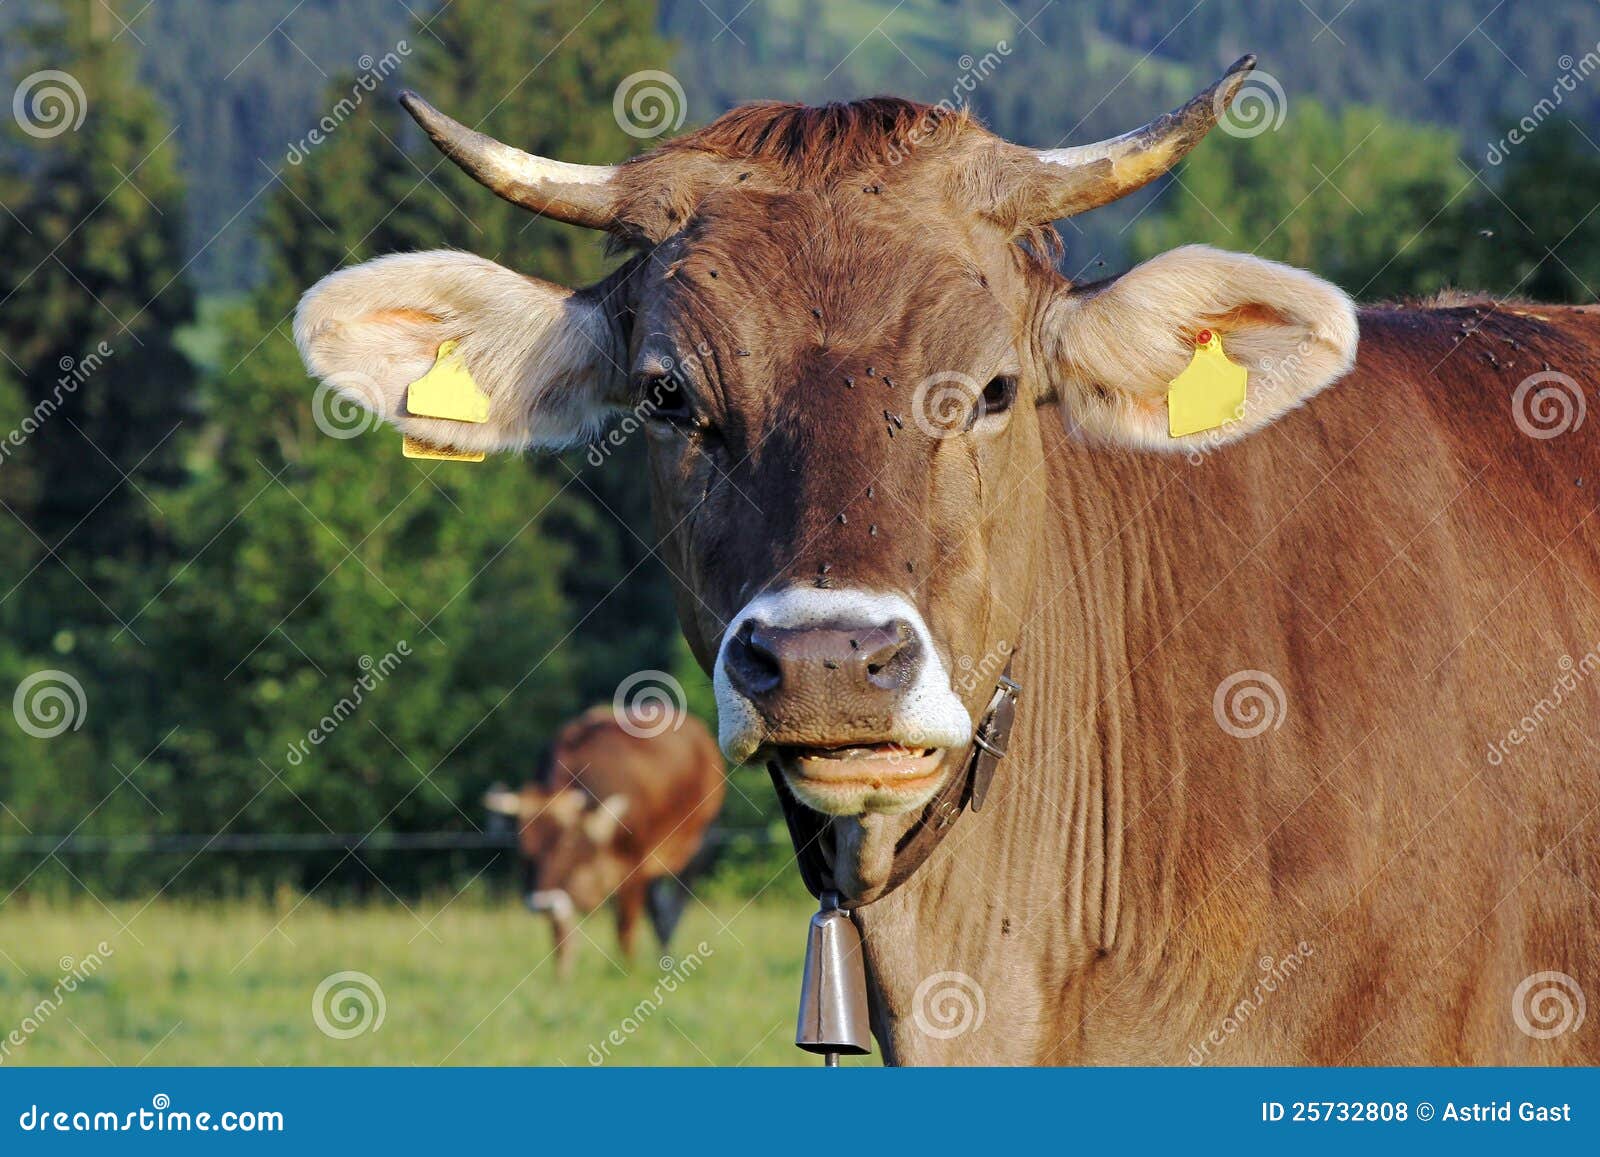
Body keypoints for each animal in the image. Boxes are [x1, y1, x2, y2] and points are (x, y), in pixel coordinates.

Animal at [483, 706, 725, 975]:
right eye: (522, 842)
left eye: (567, 842)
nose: (542, 903)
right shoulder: (562, 889)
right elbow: (561, 935)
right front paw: (561, 976)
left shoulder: (634, 864)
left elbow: (625, 926)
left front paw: (628, 971)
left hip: (695, 843)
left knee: (672, 907)